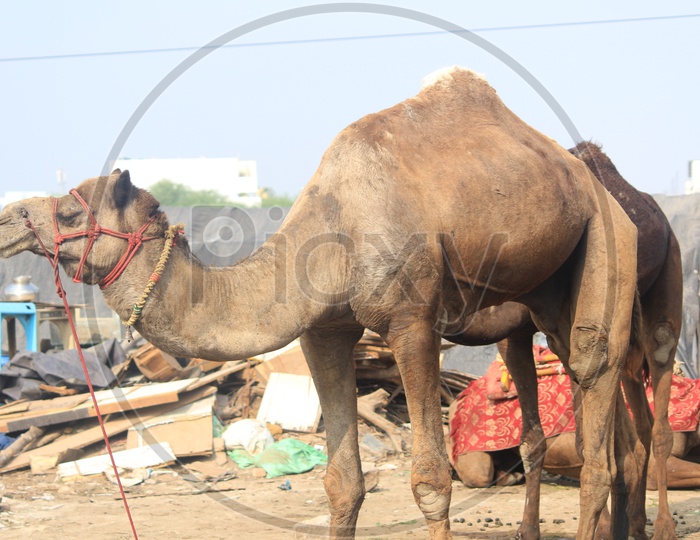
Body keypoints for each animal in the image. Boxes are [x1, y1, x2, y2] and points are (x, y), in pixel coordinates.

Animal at [0, 67, 640, 539]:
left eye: (70, 211)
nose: (8, 221)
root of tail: (597, 185)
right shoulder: (323, 333)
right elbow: (342, 483)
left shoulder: (411, 323)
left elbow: (430, 480)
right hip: (544, 298)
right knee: (592, 423)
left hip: (608, 241)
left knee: (594, 385)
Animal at [448, 142, 683, 540]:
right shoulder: (522, 333)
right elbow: (539, 439)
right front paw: (530, 529)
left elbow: (590, 441)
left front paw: (602, 528)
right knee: (640, 423)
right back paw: (635, 524)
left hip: (669, 278)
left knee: (662, 410)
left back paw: (663, 527)